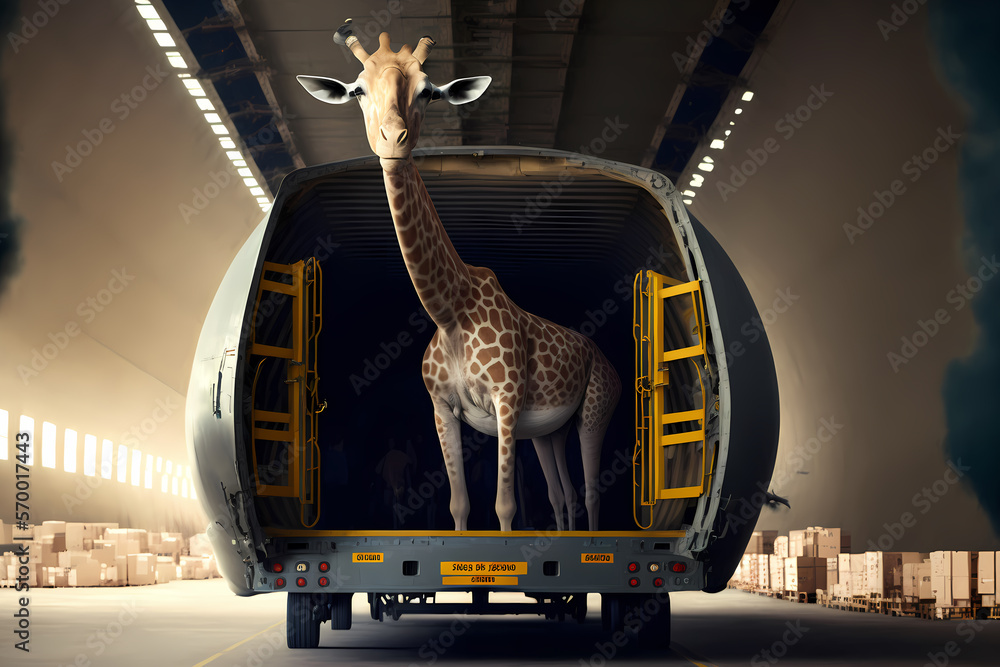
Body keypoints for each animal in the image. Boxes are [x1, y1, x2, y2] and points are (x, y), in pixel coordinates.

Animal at [297, 24, 621, 531]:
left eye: (428, 91)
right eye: (357, 89)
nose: (393, 139)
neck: (448, 312)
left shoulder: (507, 401)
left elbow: (504, 507)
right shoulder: (442, 411)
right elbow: (459, 504)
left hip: (595, 410)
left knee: (589, 491)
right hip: (549, 430)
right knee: (561, 493)